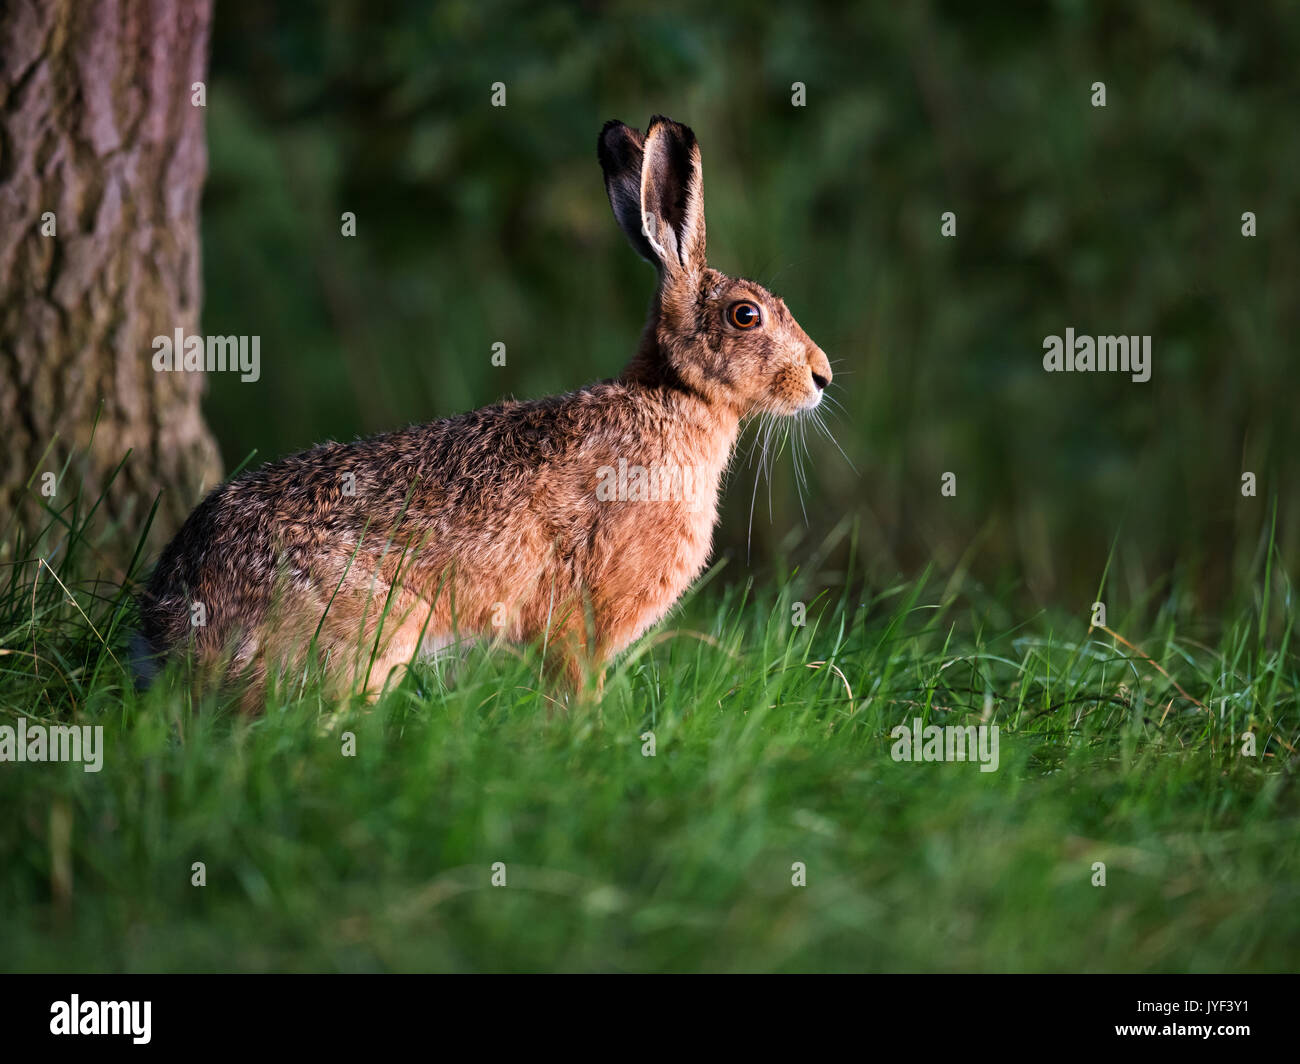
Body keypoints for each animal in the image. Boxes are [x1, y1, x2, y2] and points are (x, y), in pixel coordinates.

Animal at [134, 115, 833, 708]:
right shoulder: (580, 619)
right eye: (746, 316)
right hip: (369, 634)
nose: (821, 377)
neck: (677, 397)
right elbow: (574, 686)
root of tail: (171, 627)